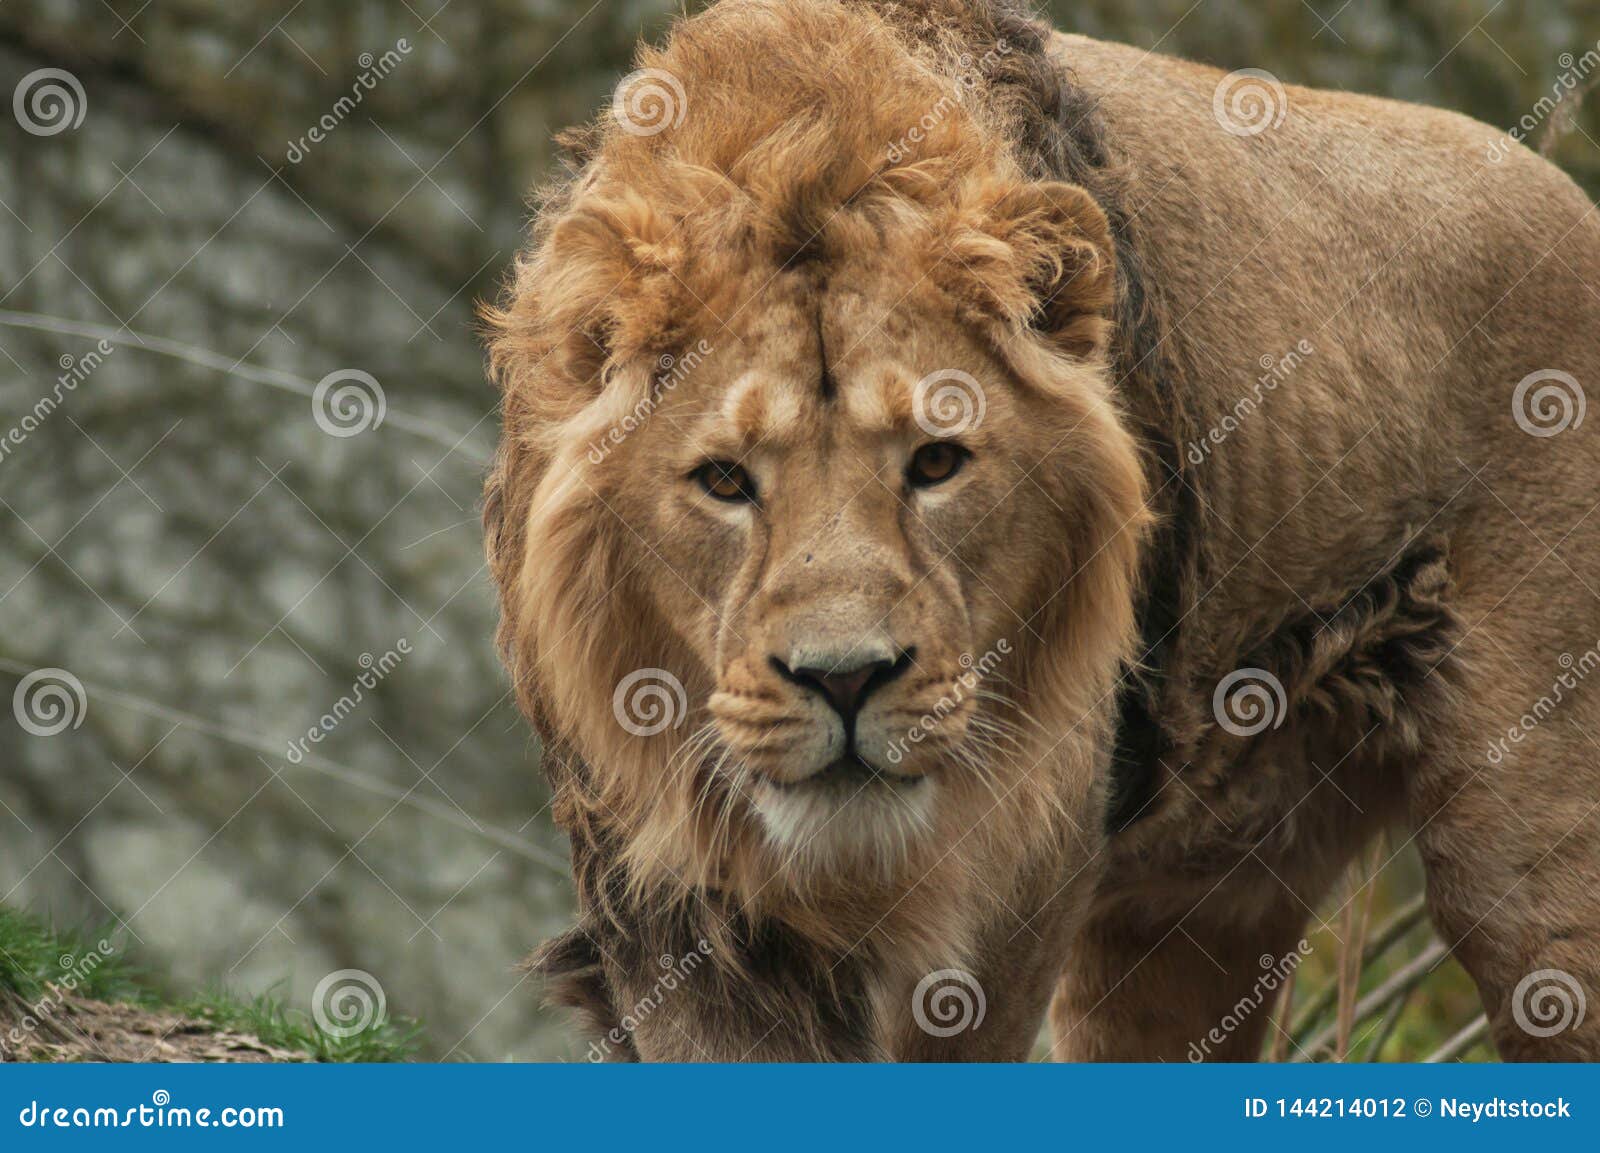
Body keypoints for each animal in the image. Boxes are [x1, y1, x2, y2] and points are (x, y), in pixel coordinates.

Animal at [483, 0, 1600, 1061]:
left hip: (1534, 879)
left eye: (936, 463)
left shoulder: (1009, 887)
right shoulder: (674, 905)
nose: (845, 679)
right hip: (1187, 917)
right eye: (723, 480)